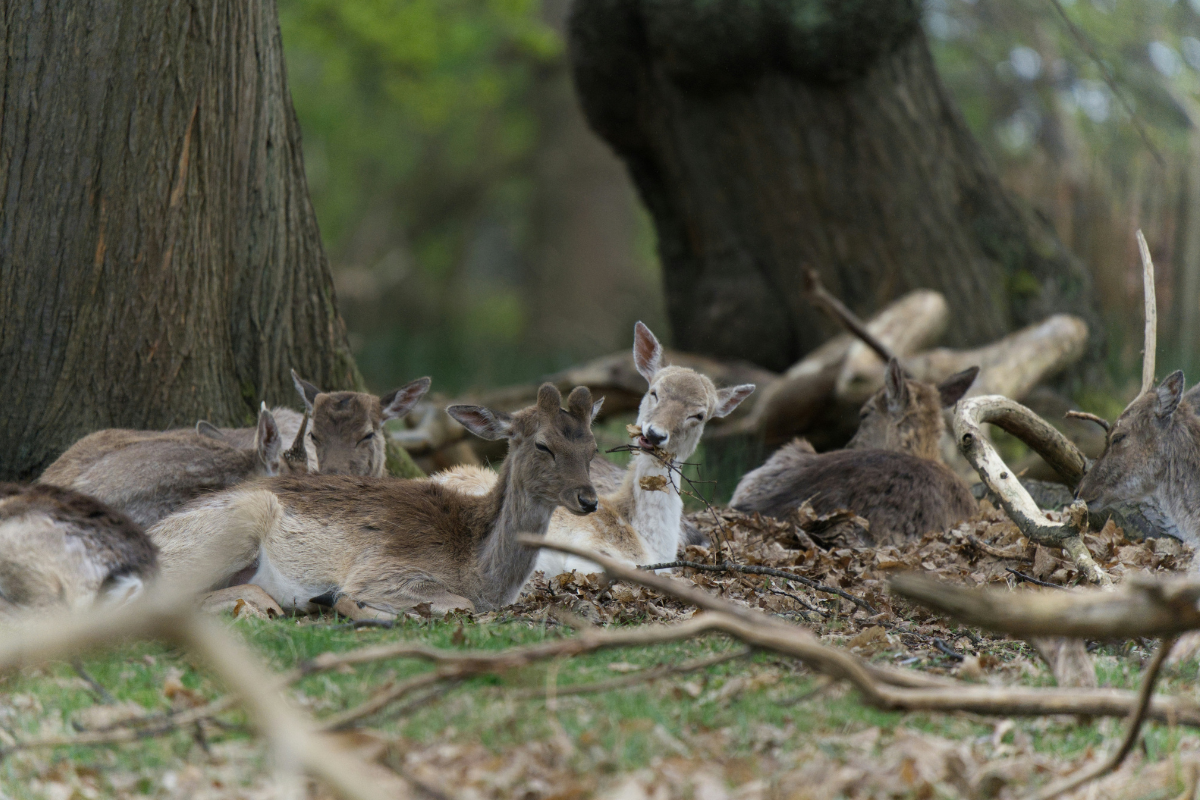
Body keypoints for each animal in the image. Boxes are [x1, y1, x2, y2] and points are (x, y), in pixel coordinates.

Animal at [146, 384, 600, 615]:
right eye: (543, 445)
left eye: (593, 448)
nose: (589, 499)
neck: (481, 570)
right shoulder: (383, 569)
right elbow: (459, 604)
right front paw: (345, 601)